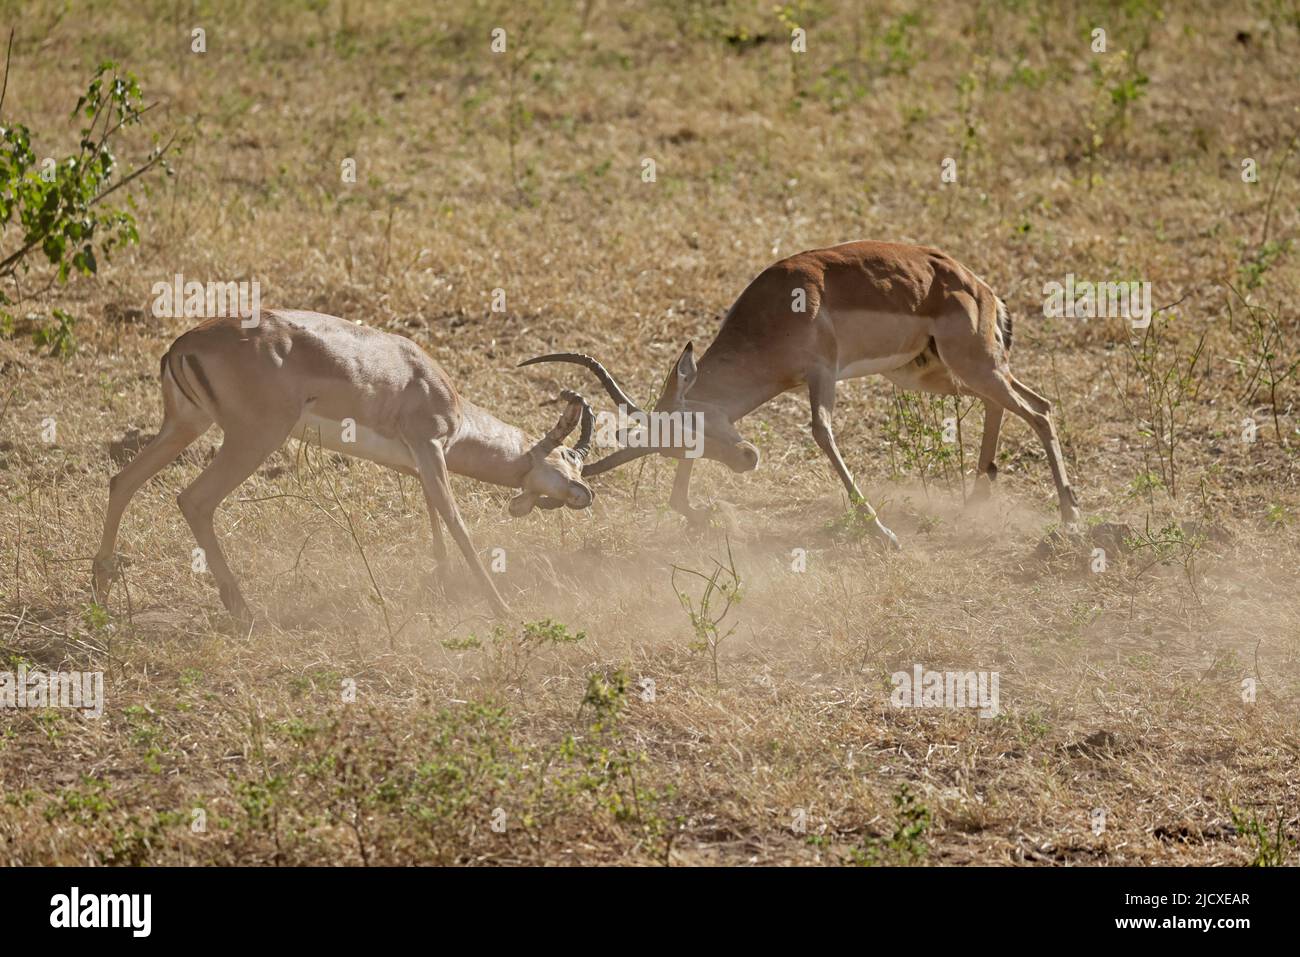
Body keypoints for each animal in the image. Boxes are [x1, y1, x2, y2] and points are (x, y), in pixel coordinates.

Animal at [93, 310, 596, 622]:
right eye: (571, 457)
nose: (584, 495)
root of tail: (183, 343)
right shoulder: (430, 445)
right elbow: (457, 523)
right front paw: (501, 609)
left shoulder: (417, 463)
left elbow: (434, 518)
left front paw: (445, 586)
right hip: (253, 438)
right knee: (193, 500)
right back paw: (243, 609)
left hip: (185, 425)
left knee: (123, 480)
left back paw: (100, 589)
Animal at [522, 240, 1080, 545]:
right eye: (682, 443)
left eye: (696, 422)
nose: (747, 459)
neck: (780, 309)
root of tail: (979, 286)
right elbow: (681, 496)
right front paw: (706, 516)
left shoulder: (822, 375)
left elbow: (822, 433)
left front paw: (883, 534)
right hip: (933, 373)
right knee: (1010, 405)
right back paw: (977, 503)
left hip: (972, 364)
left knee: (1040, 410)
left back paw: (1071, 516)